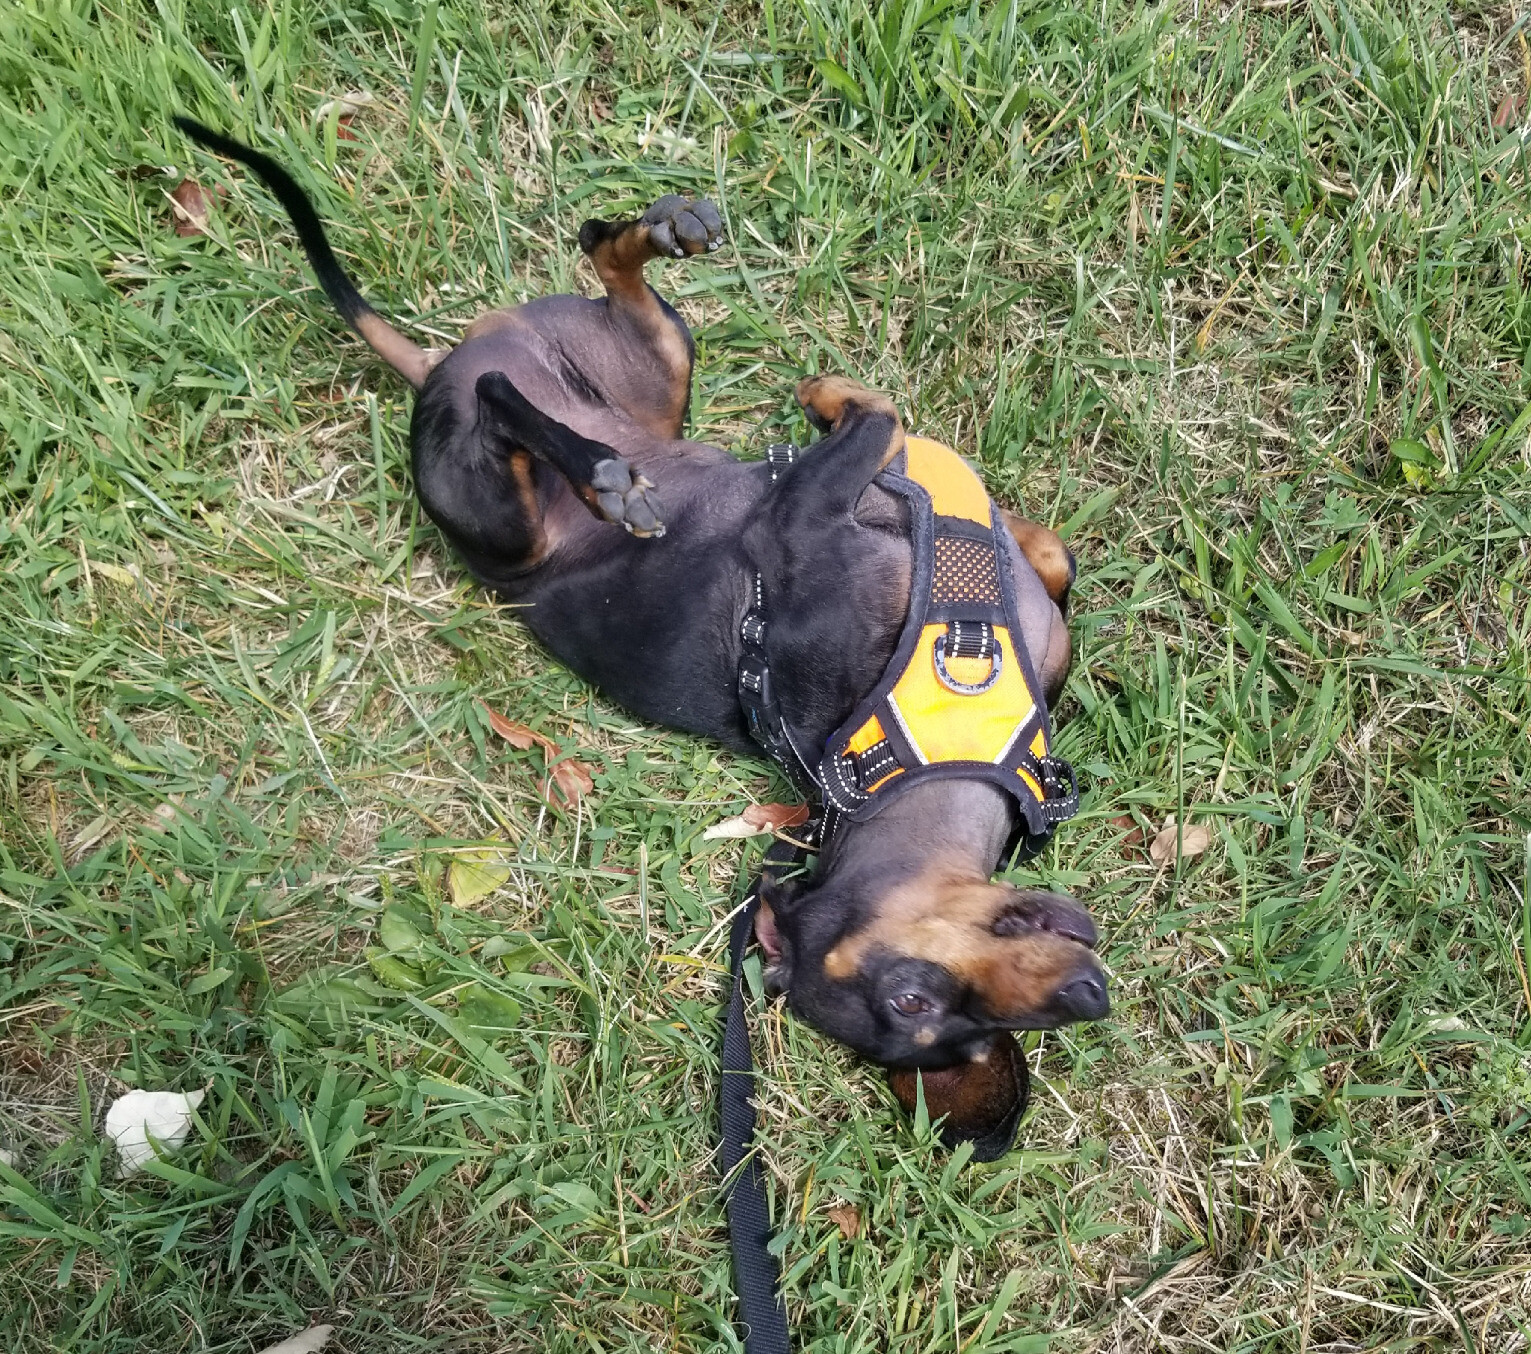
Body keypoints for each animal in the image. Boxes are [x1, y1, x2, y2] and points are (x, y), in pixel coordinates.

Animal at [179, 118, 1108, 1151]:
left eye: (969, 1028)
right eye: (910, 1002)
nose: (1086, 995)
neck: (934, 758)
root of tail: (436, 370)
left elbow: (1046, 549)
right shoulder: (802, 517)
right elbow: (882, 423)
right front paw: (839, 401)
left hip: (651, 371)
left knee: (590, 282)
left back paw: (658, 246)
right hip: (506, 519)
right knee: (504, 392)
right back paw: (601, 462)